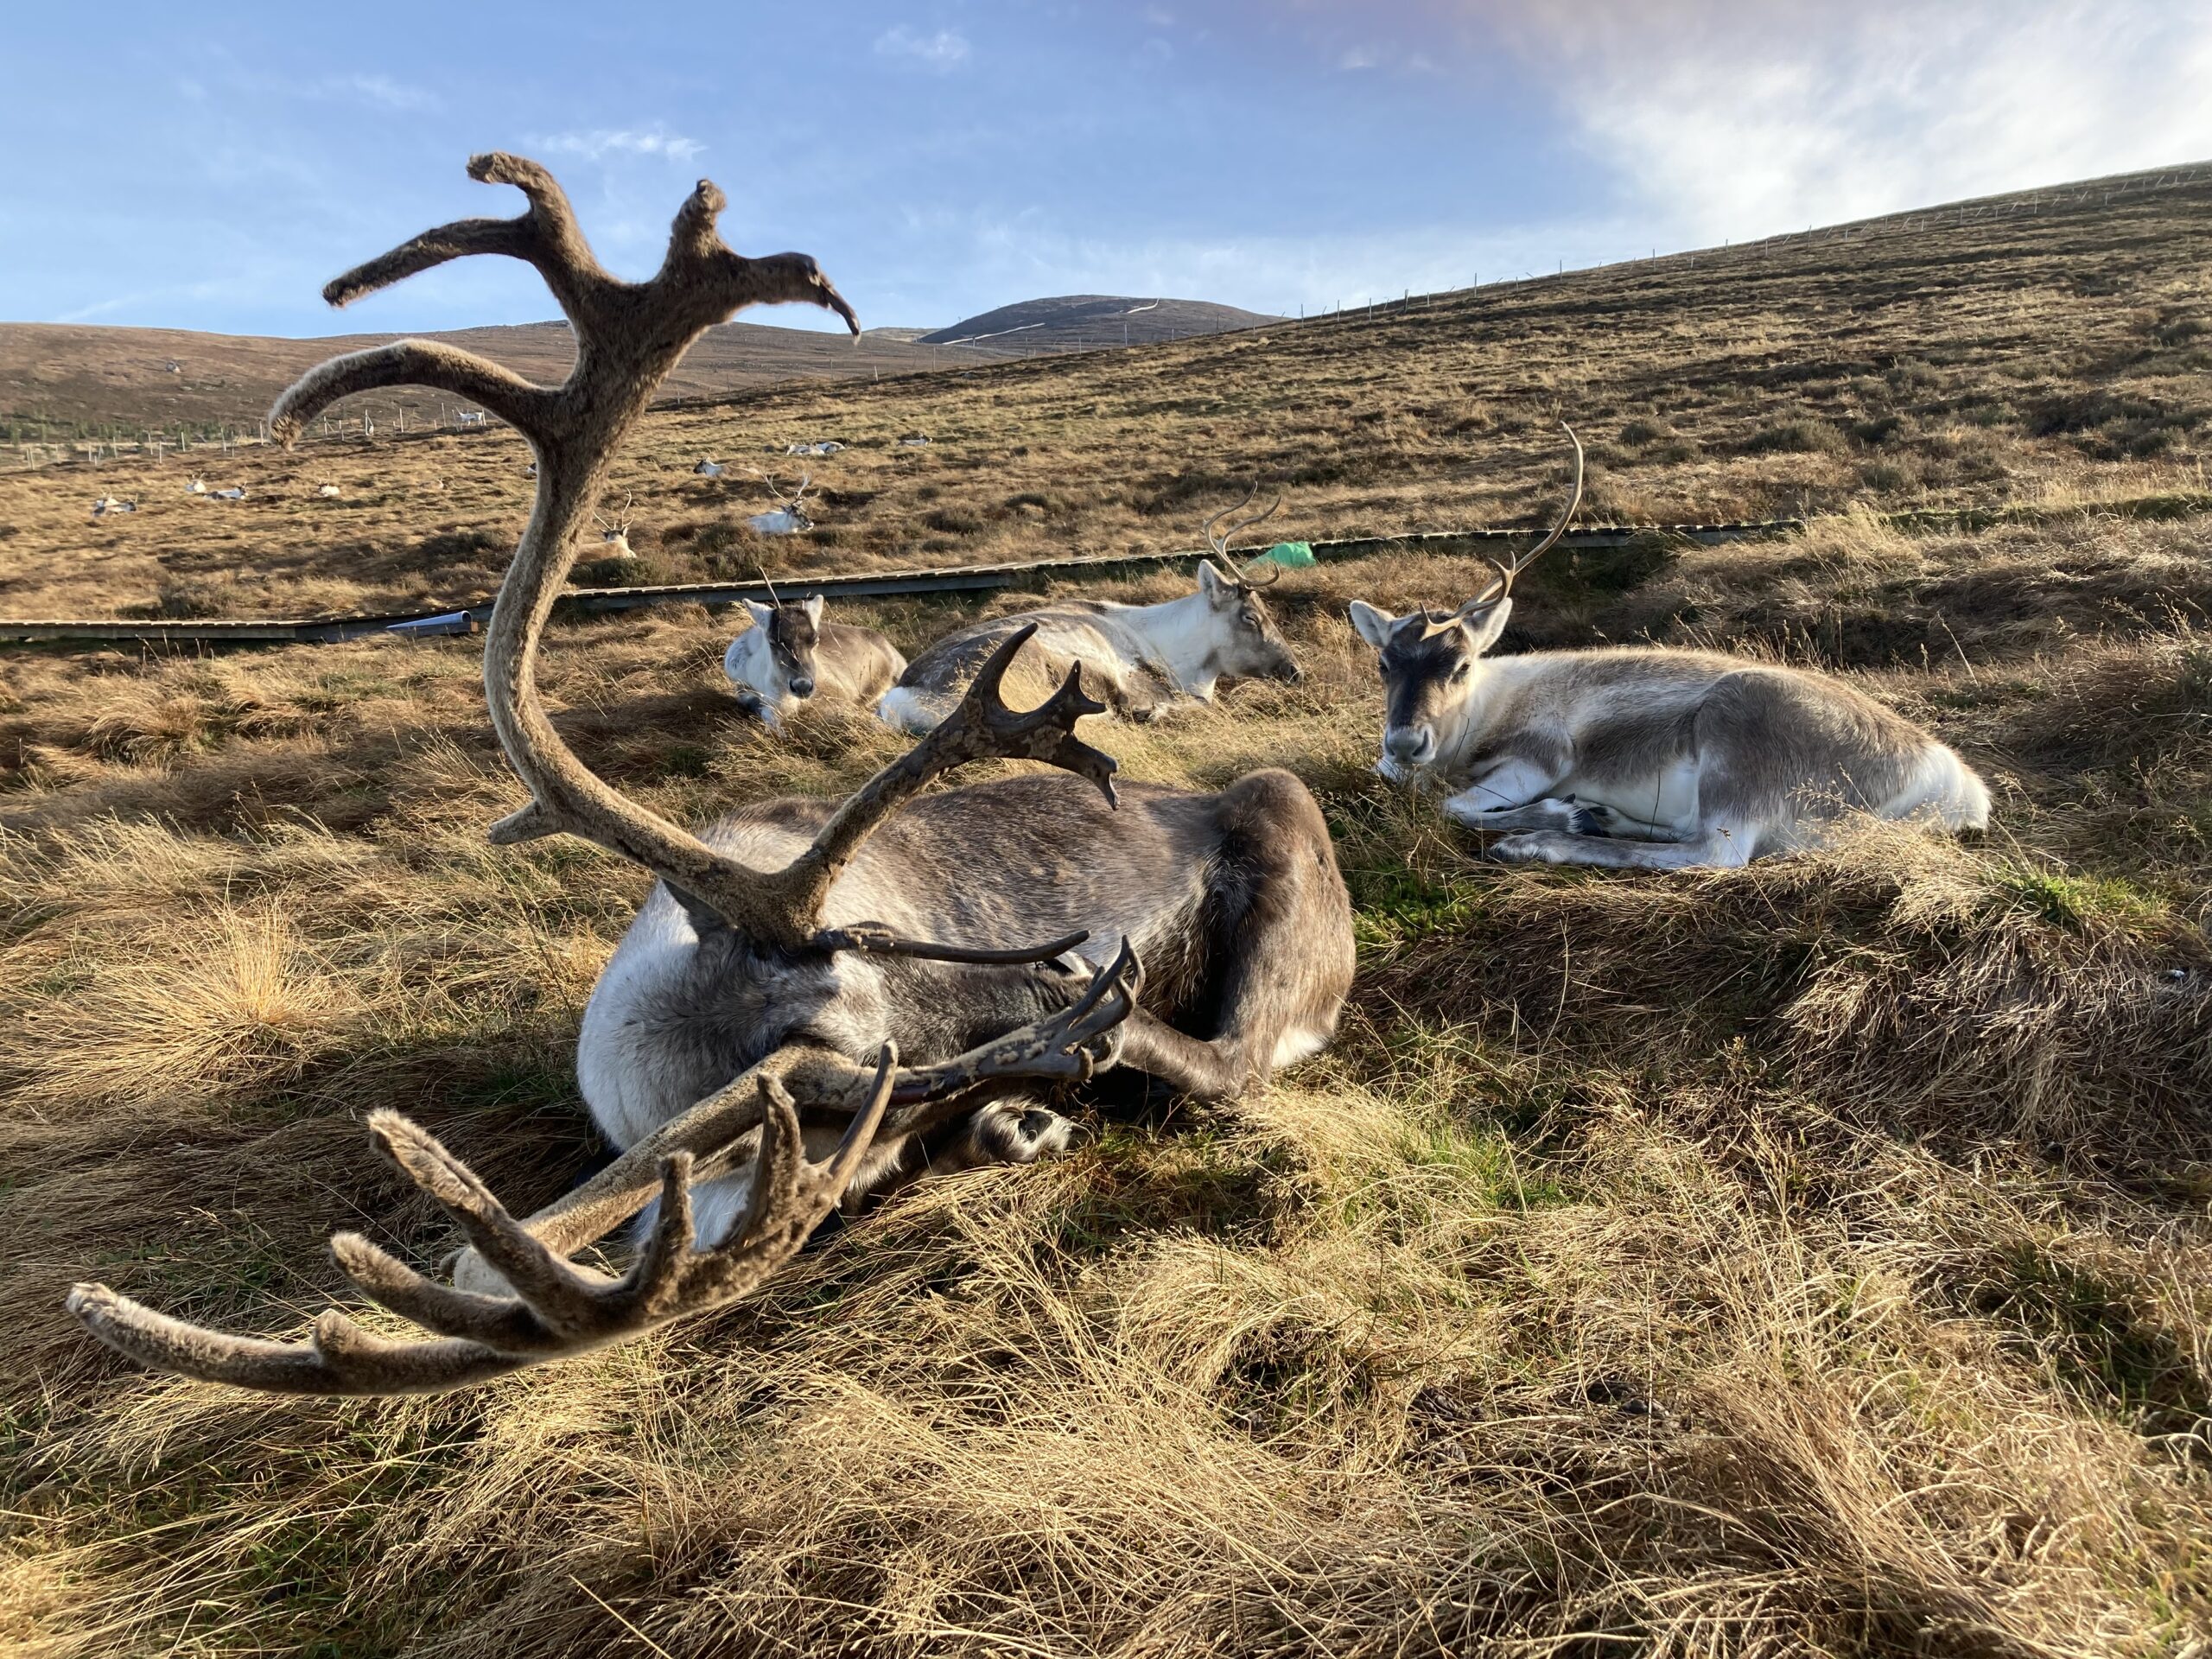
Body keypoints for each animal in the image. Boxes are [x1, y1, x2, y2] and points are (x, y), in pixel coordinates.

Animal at [724, 587, 907, 727]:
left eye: (815, 640)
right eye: (772, 642)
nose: (802, 686)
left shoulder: (838, 693)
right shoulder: (744, 691)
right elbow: (766, 713)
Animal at [877, 485, 1301, 735]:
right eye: (1250, 616)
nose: (1295, 671)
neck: (1179, 656)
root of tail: (897, 700)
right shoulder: (1145, 685)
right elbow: (1189, 704)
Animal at [1347, 427, 1992, 868]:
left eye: (1459, 664)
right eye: (1383, 664)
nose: (1406, 742)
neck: (1487, 709)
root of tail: (1954, 788)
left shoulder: (1539, 759)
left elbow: (1451, 806)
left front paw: (1557, 813)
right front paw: (1582, 811)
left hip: (1737, 751)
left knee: (1712, 853)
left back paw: (1541, 840)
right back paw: (1601, 818)